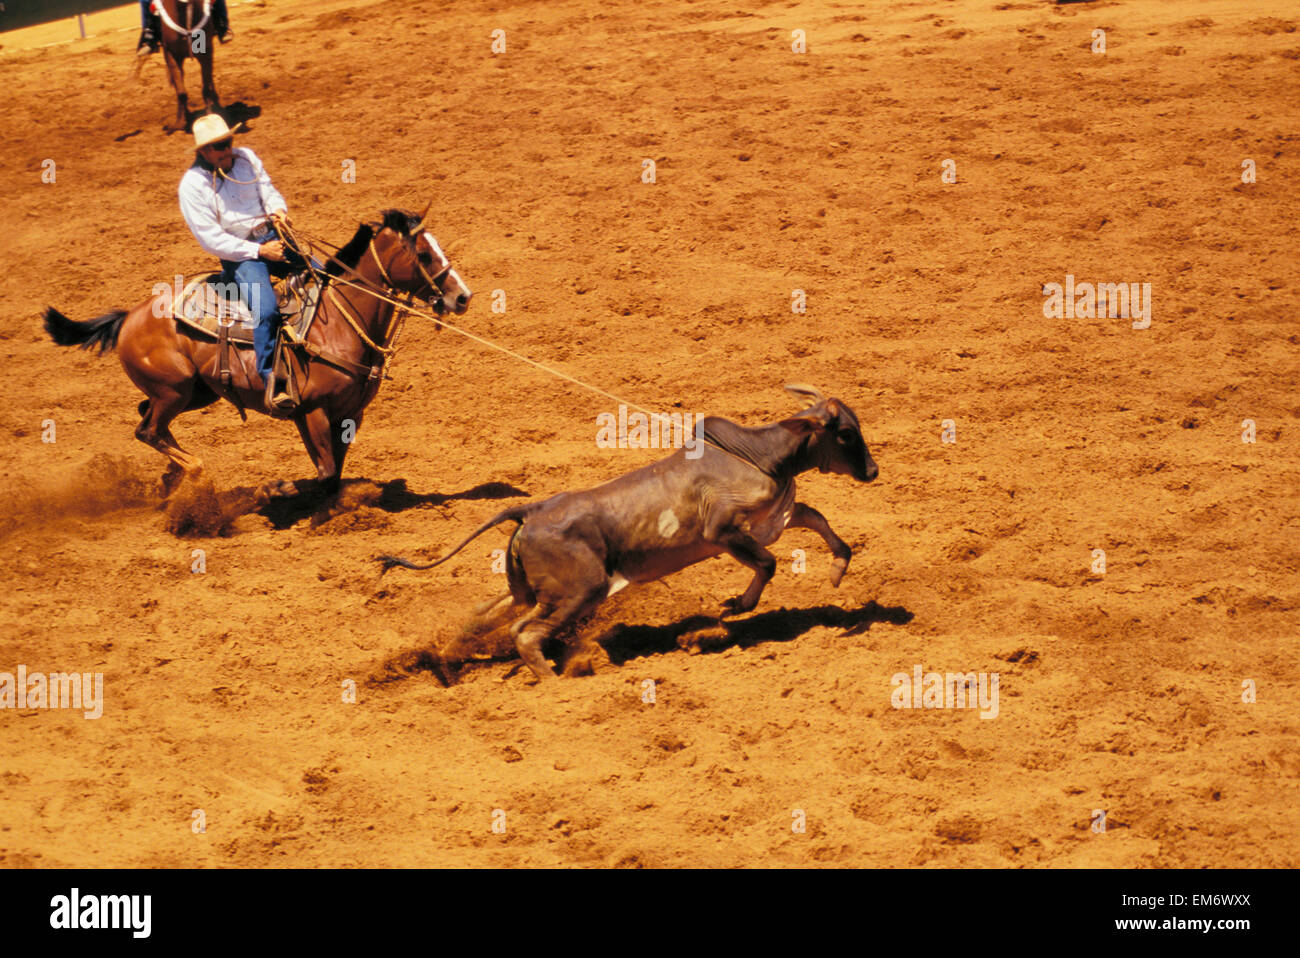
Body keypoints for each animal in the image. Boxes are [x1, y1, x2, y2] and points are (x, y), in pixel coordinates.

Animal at [377, 384, 878, 680]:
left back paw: (448, 662)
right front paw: (737, 605)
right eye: (846, 433)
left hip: (530, 590)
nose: (873, 471)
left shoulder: (774, 516)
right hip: (581, 591)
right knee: (524, 632)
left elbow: (816, 519)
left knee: (487, 616)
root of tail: (531, 510)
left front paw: (837, 569)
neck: (757, 454)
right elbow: (769, 563)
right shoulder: (725, 529)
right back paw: (558, 679)